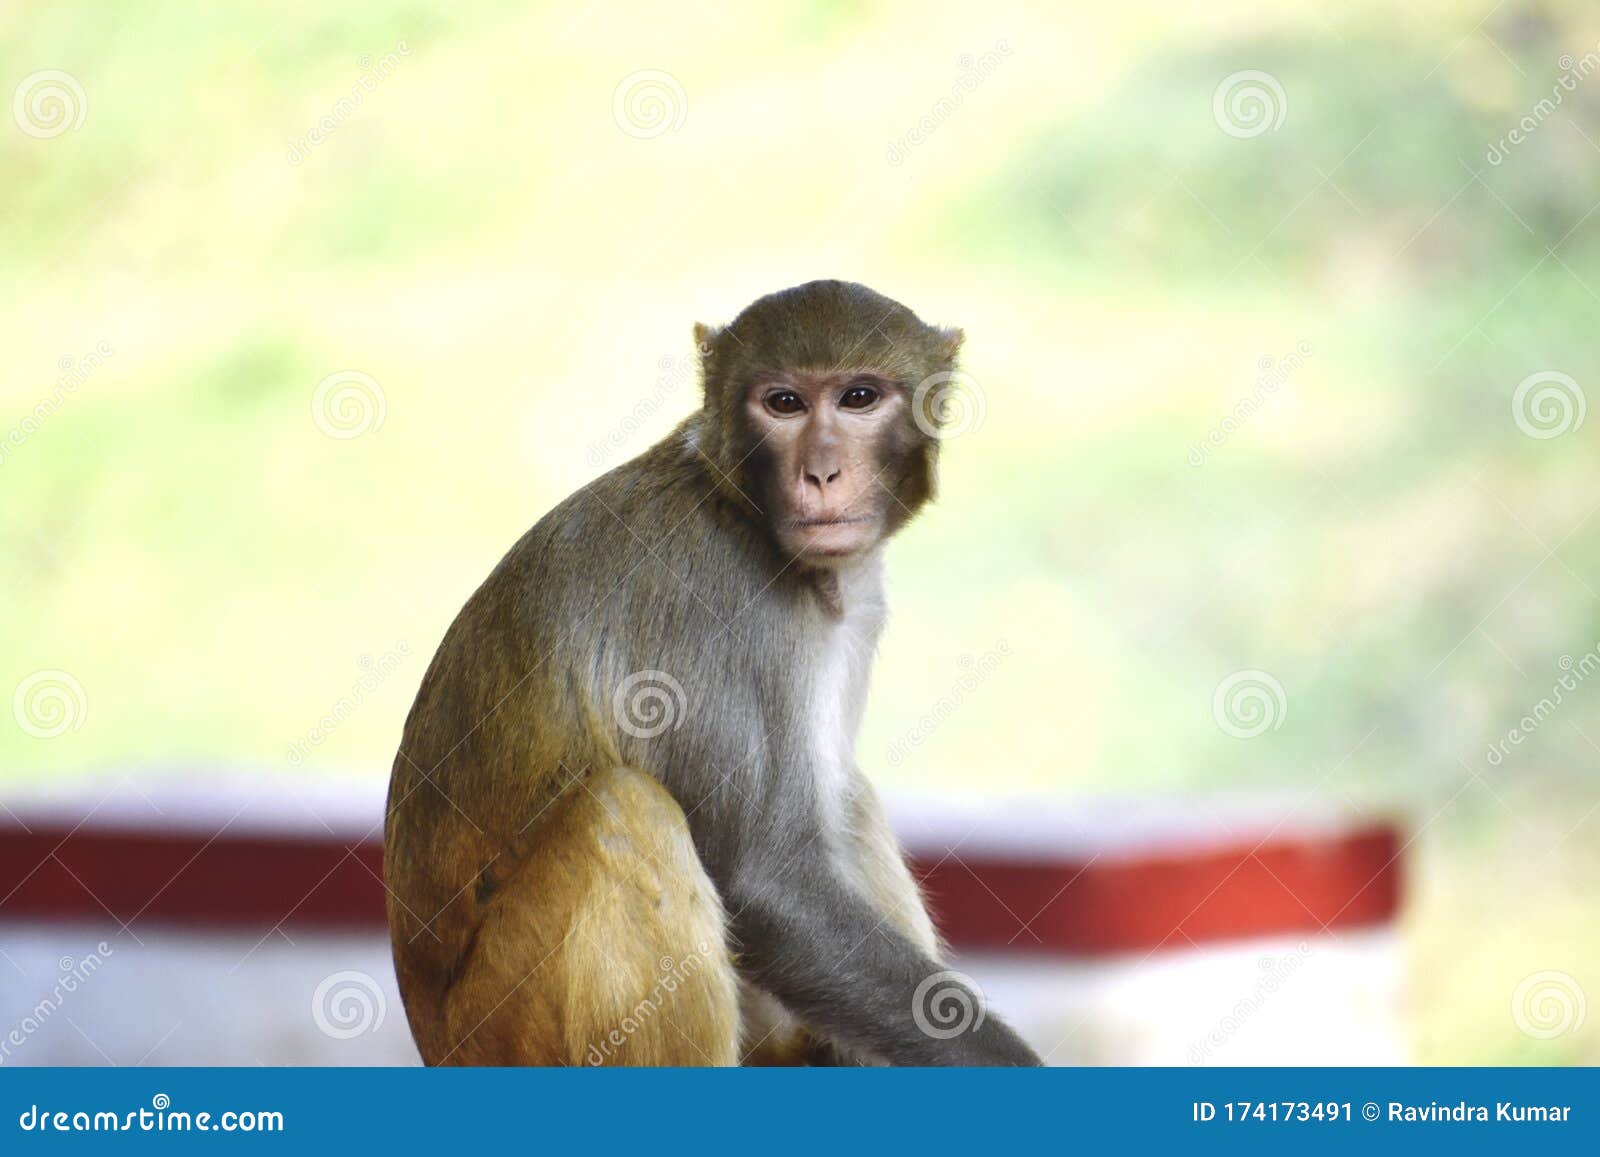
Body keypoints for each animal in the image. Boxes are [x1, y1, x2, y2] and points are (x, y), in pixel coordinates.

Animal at [384, 279, 1042, 1067]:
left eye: (858, 397)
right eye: (784, 403)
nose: (822, 471)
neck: (742, 507)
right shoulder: (717, 598)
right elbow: (767, 885)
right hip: (501, 1028)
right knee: (622, 811)